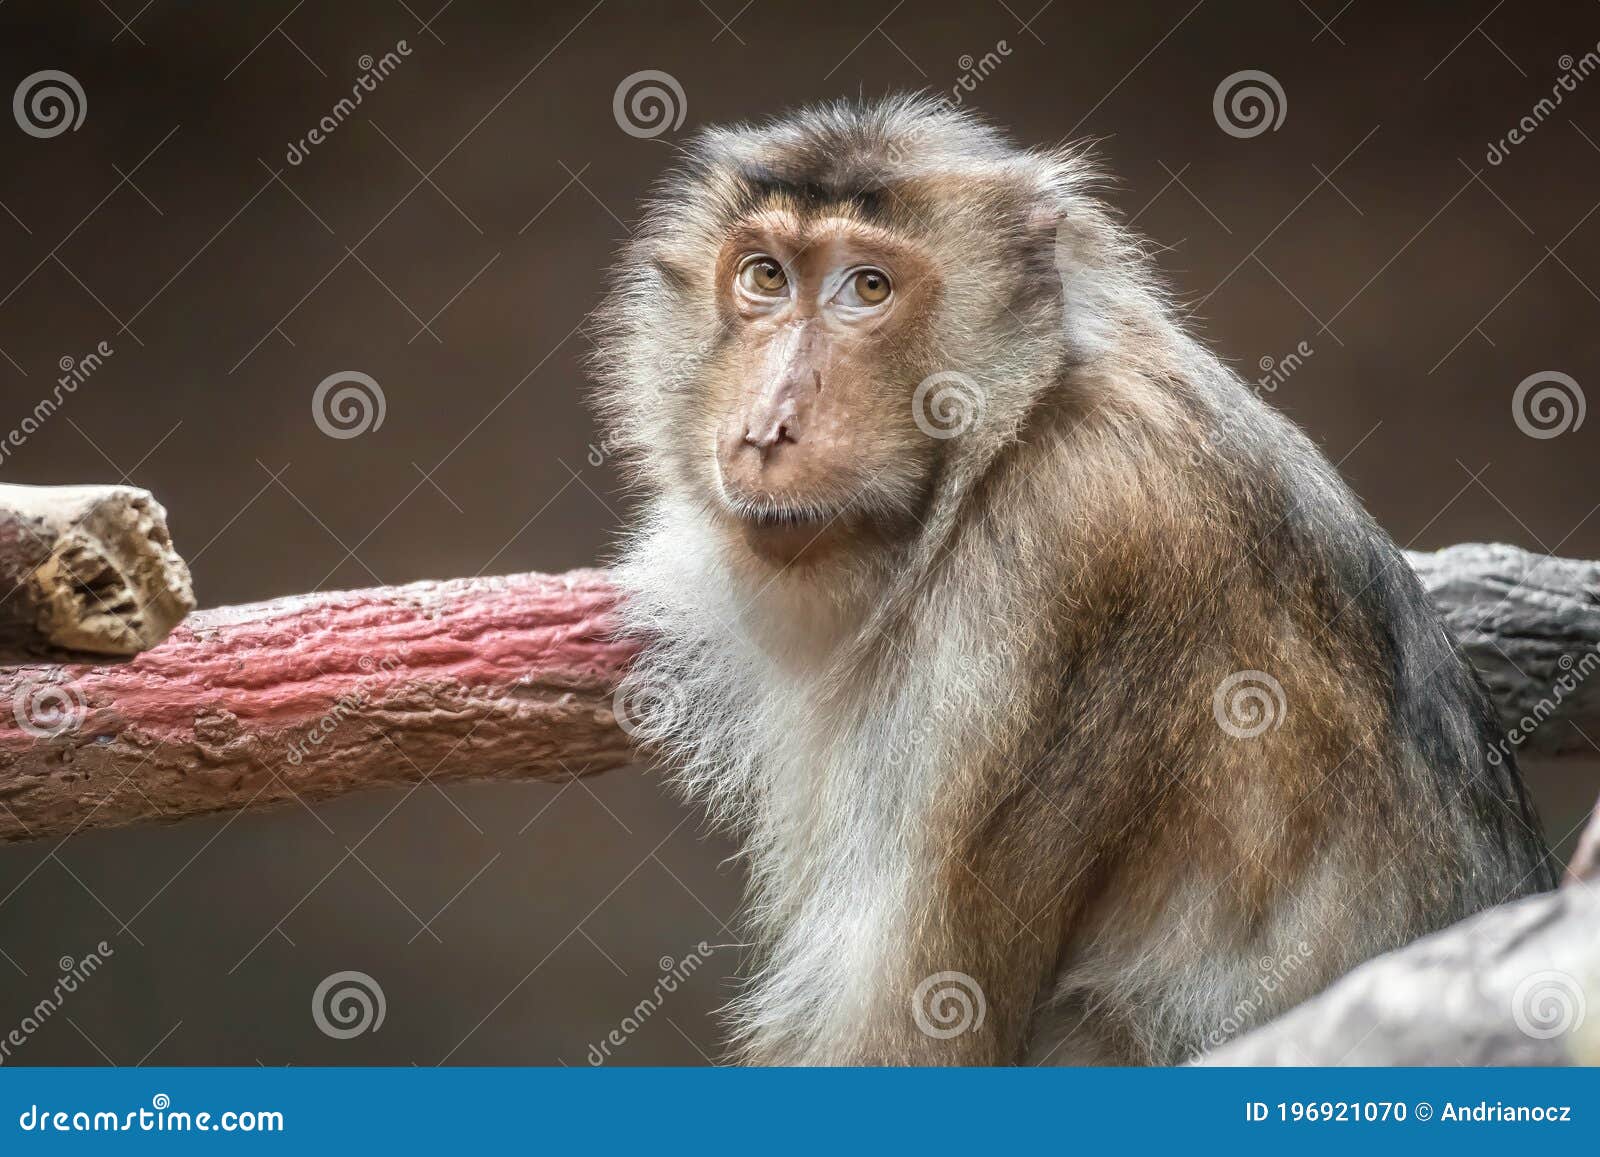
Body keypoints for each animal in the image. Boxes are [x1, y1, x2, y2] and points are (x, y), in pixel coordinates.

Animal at [588, 95, 1556, 1066]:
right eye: (765, 276)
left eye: (867, 288)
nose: (768, 425)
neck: (1013, 430)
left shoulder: (1048, 571)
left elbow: (917, 1024)